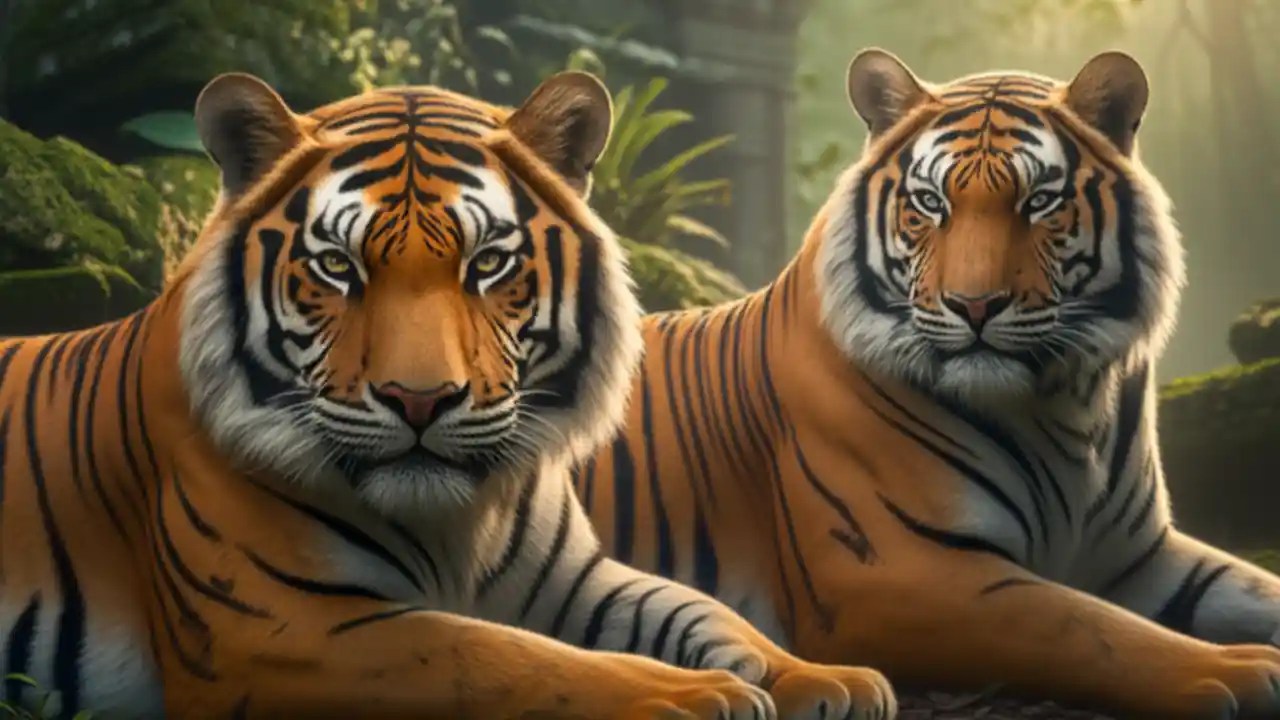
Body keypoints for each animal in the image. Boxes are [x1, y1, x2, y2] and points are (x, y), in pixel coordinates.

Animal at [0, 71, 897, 719]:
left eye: (488, 263)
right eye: (337, 267)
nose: (420, 400)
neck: (461, 518)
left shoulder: (576, 577)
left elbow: (705, 613)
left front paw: (825, 680)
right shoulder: (281, 629)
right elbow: (503, 656)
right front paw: (691, 696)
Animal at [576, 49, 1280, 719]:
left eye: (1039, 202)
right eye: (930, 204)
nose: (974, 305)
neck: (1067, 404)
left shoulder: (1137, 554)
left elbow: (1253, 589)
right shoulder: (898, 571)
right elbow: (1087, 625)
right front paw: (1235, 669)